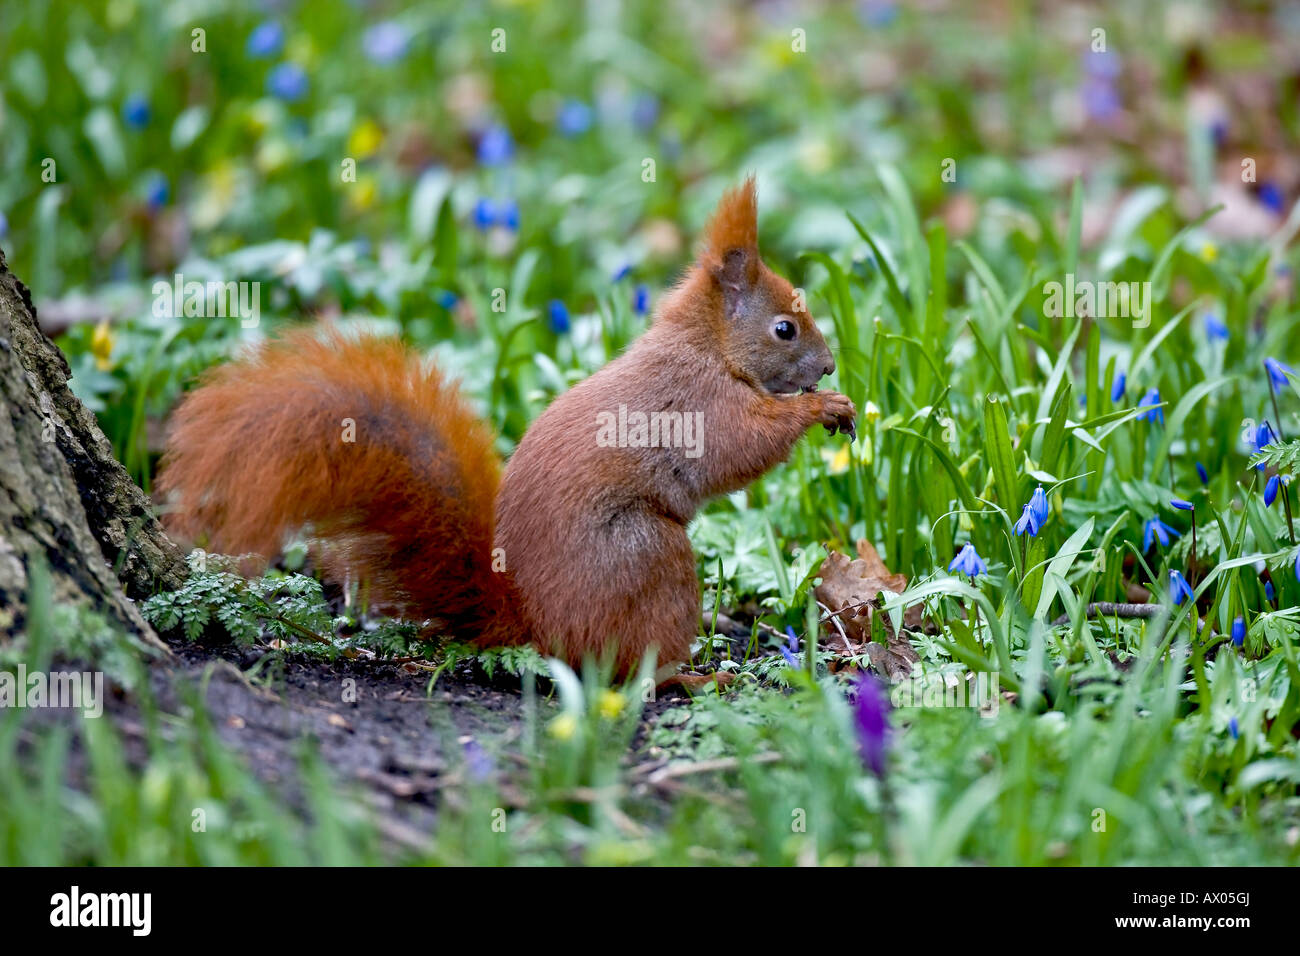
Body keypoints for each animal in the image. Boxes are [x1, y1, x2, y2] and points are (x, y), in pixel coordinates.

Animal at [158, 177, 857, 675]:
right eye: (785, 328)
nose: (827, 364)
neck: (708, 346)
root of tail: (532, 627)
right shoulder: (699, 402)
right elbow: (742, 447)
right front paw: (823, 407)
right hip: (645, 557)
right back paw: (684, 676)